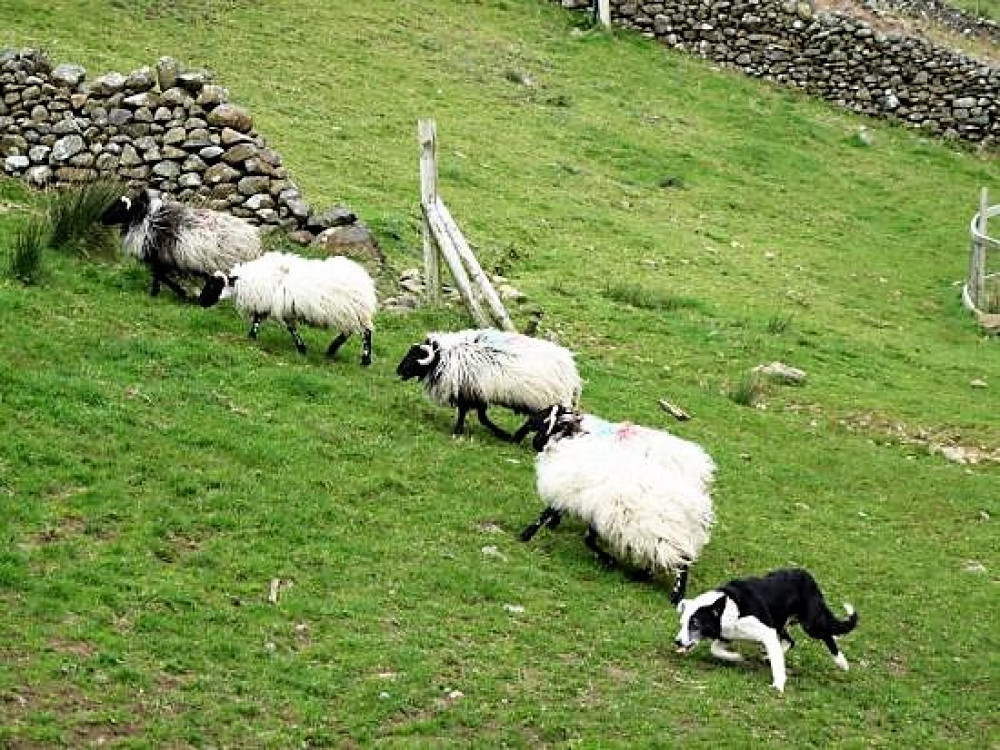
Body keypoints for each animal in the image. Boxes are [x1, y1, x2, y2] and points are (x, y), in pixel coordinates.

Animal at [100, 188, 263, 299]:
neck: (144, 218)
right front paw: (175, 292)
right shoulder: (163, 259)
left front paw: (166, 292)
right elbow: (160, 276)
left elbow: (159, 276)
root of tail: (253, 240)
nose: (101, 218)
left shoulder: (159, 257)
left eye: (118, 207)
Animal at [198, 251, 377, 365]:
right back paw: (332, 350)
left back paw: (364, 360)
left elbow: (276, 325)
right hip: (348, 314)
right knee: (349, 332)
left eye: (214, 285)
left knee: (365, 333)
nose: (200, 301)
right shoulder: (279, 307)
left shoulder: (276, 305)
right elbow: (267, 322)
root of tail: (365, 280)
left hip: (354, 312)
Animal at [395, 329, 582, 441]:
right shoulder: (475, 394)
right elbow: (479, 417)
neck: (445, 357)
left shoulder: (470, 393)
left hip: (545, 402)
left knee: (535, 423)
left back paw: (515, 438)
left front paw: (458, 431)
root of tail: (571, 371)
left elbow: (477, 417)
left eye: (415, 356)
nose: (398, 371)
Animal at [519, 404, 716, 603]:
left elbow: (551, 516)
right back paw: (641, 575)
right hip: (663, 534)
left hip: (664, 534)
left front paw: (526, 535)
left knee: (682, 561)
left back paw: (675, 595)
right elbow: (586, 535)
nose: (535, 440)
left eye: (549, 418)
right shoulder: (593, 508)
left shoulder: (570, 494)